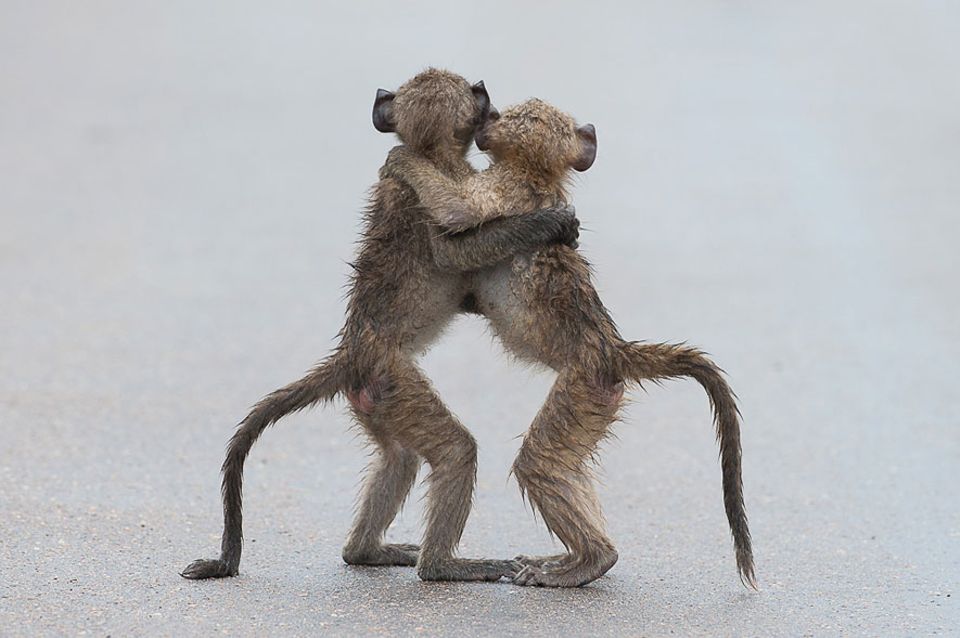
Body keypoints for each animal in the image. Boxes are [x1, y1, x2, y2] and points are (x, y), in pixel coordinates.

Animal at [180, 70, 582, 582]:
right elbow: (455, 249)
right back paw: (445, 566)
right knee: (454, 451)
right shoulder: (452, 184)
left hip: (375, 394)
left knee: (400, 456)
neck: (430, 151)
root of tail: (353, 348)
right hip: (391, 375)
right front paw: (551, 222)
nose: (484, 90)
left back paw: (366, 552)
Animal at [381, 98, 756, 588]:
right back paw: (586, 556)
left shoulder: (502, 187)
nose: (490, 113)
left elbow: (457, 219)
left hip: (585, 385)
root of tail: (613, 347)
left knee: (539, 463)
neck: (539, 174)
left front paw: (403, 161)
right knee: (563, 464)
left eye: (516, 115)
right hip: (598, 393)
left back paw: (590, 561)